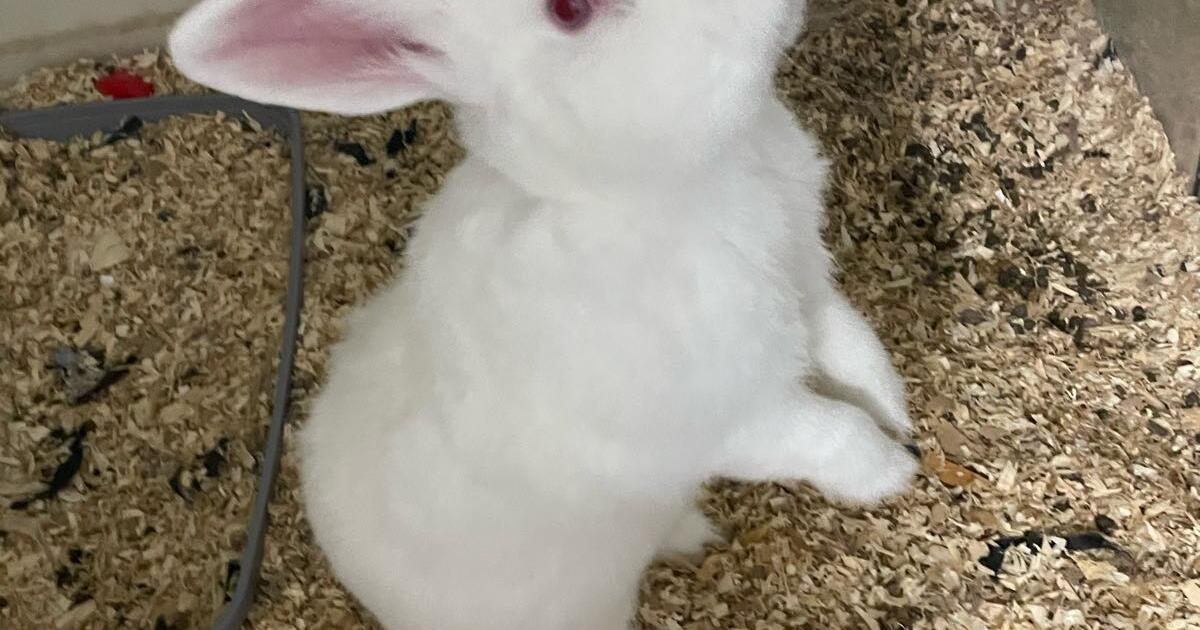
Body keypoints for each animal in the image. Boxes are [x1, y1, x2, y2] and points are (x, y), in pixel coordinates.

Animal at [169, 0, 919, 628]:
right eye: (570, 11)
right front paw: (894, 471)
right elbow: (833, 435)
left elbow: (854, 354)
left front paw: (903, 416)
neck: (648, 194)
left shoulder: (810, 288)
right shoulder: (731, 421)